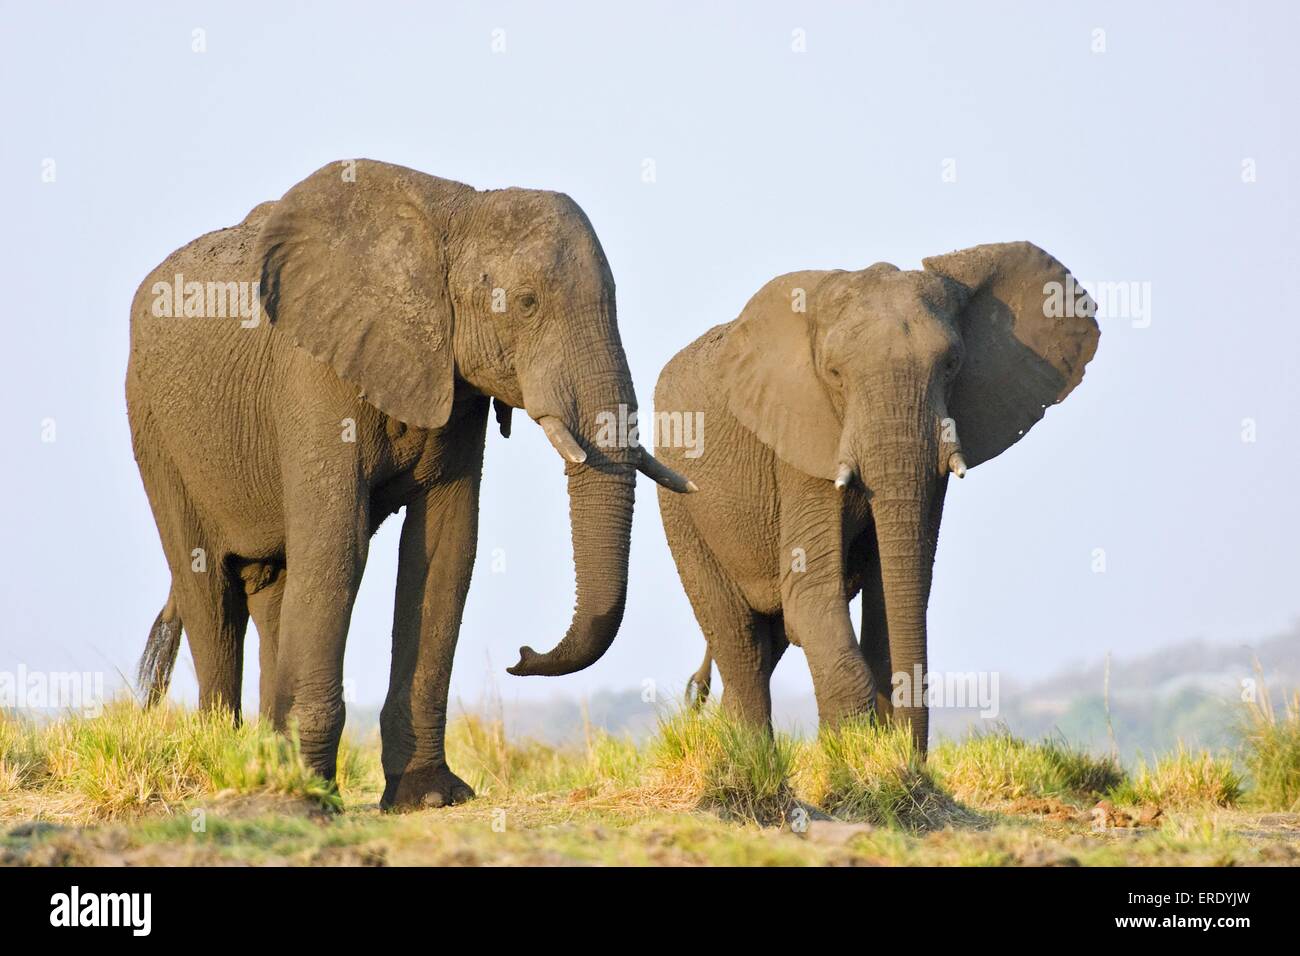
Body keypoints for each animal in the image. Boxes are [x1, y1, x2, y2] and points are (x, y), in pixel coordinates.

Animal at [126, 159, 694, 809]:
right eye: (525, 303)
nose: (521, 656)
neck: (457, 214)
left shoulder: (457, 385)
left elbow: (447, 549)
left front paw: (427, 797)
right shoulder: (314, 371)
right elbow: (337, 546)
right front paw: (311, 791)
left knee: (272, 586)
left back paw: (266, 756)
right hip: (153, 427)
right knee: (209, 589)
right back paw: (230, 759)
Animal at [654, 242, 1099, 750]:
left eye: (952, 365)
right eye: (834, 374)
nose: (912, 760)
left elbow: (894, 589)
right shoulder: (802, 442)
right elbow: (810, 593)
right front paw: (846, 759)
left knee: (767, 642)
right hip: (679, 503)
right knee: (740, 640)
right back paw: (751, 756)